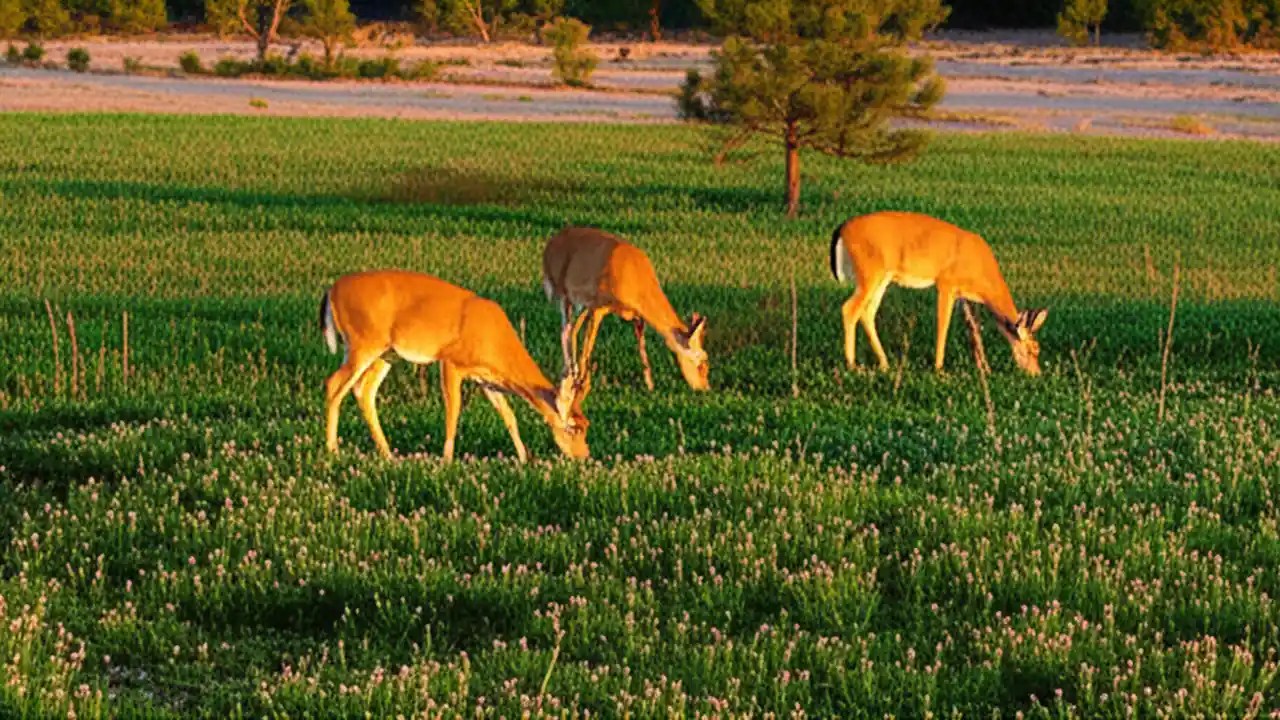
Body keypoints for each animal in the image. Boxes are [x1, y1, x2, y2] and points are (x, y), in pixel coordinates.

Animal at [319, 270, 590, 462]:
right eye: (573, 428)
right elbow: (454, 411)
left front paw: (524, 459)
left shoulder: (485, 379)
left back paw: (387, 454)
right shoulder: (451, 362)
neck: (495, 339)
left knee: (364, 390)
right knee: (334, 383)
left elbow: (509, 415)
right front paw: (447, 460)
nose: (583, 456)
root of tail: (331, 290)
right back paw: (333, 451)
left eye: (587, 425)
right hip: (363, 342)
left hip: (385, 354)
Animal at [542, 226, 709, 393]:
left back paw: (571, 373)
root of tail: (549, 246)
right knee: (566, 331)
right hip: (563, 293)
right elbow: (588, 345)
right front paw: (580, 384)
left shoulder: (636, 314)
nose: (705, 387)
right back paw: (571, 377)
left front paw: (650, 385)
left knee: (572, 330)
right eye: (702, 360)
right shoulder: (599, 306)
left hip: (582, 304)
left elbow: (642, 345)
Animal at [829, 211, 1048, 375]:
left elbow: (974, 330)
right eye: (1033, 349)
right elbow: (943, 324)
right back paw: (853, 365)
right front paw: (939, 368)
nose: (1036, 373)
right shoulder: (945, 284)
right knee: (849, 309)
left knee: (867, 312)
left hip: (882, 277)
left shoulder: (964, 296)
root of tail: (842, 228)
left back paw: (884, 364)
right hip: (869, 272)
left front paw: (985, 369)